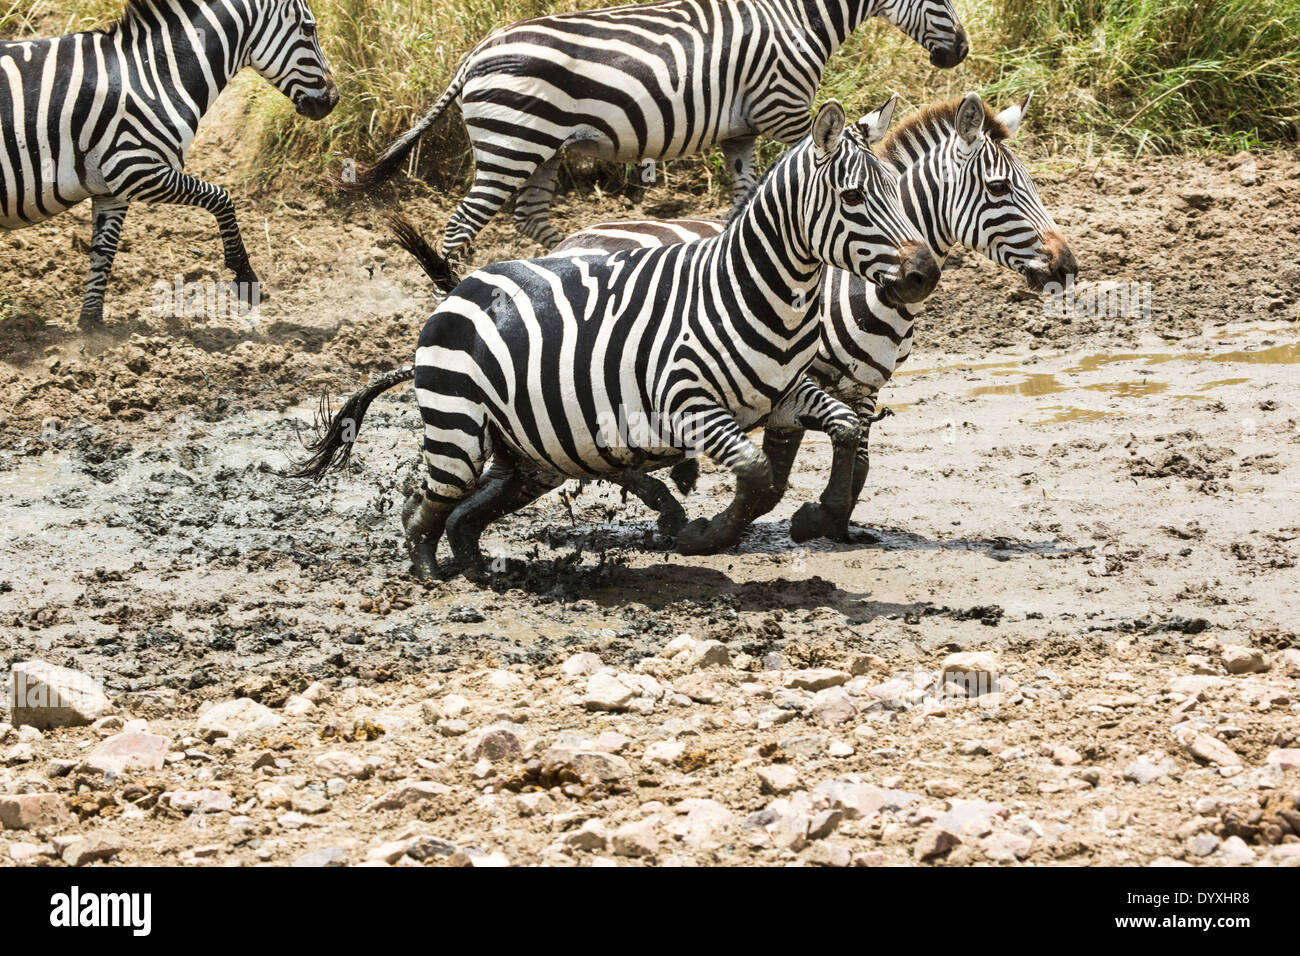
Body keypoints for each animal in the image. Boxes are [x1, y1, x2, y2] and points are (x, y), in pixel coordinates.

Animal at [0, 0, 337, 328]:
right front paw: (243, 275)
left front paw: (91, 326)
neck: (155, 75)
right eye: (309, 28)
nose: (333, 100)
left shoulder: (112, 189)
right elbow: (221, 198)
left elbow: (104, 251)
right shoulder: (136, 168)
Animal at [294, 99, 941, 580]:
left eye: (895, 187)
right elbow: (758, 473)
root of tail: (460, 288)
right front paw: (705, 536)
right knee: (428, 499)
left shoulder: (786, 394)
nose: (924, 274)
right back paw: (431, 571)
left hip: (531, 455)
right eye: (854, 198)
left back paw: (478, 566)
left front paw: (821, 513)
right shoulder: (685, 403)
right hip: (460, 429)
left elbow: (843, 432)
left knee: (466, 509)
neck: (764, 294)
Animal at [343, 0, 967, 255]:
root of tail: (475, 53)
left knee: (530, 218)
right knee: (460, 225)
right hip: (512, 146)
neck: (796, 19)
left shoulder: (740, 132)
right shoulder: (785, 111)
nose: (960, 53)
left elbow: (744, 199)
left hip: (543, 151)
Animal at [551, 92, 1079, 540]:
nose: (1068, 267)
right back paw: (667, 502)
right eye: (999, 187)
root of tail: (575, 237)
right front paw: (752, 528)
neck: (858, 287)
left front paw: (833, 522)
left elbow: (858, 465)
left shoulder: (864, 388)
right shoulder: (793, 386)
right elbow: (773, 474)